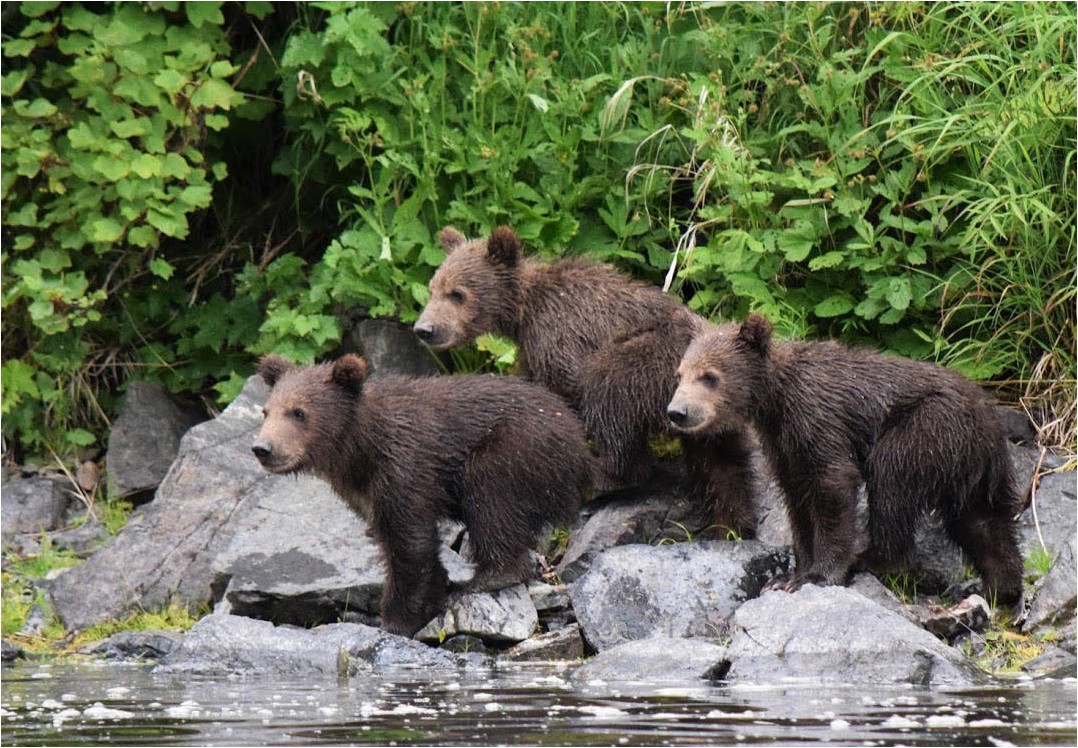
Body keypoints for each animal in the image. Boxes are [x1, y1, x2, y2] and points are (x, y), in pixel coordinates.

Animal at [252, 353, 591, 636]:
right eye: (267, 411)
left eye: (299, 412)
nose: (262, 448)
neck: (359, 452)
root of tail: (577, 434)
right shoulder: (368, 494)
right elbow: (393, 541)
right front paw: (431, 594)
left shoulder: (406, 468)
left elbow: (410, 544)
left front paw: (398, 619)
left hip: (514, 451)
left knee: (492, 502)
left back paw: (481, 580)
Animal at [413, 225, 757, 539]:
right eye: (432, 289)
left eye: (457, 293)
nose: (424, 329)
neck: (523, 312)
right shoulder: (531, 349)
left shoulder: (558, 336)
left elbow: (560, 393)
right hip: (708, 408)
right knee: (724, 465)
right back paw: (730, 525)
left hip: (654, 364)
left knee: (611, 395)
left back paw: (601, 476)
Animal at [665, 313, 1024, 607]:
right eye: (680, 375)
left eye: (709, 376)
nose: (677, 412)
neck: (774, 400)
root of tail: (989, 414)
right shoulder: (785, 444)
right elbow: (797, 498)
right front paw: (788, 576)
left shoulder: (817, 418)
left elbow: (832, 483)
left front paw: (820, 574)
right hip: (973, 465)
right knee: (983, 521)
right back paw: (1001, 587)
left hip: (925, 429)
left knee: (891, 484)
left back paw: (872, 558)